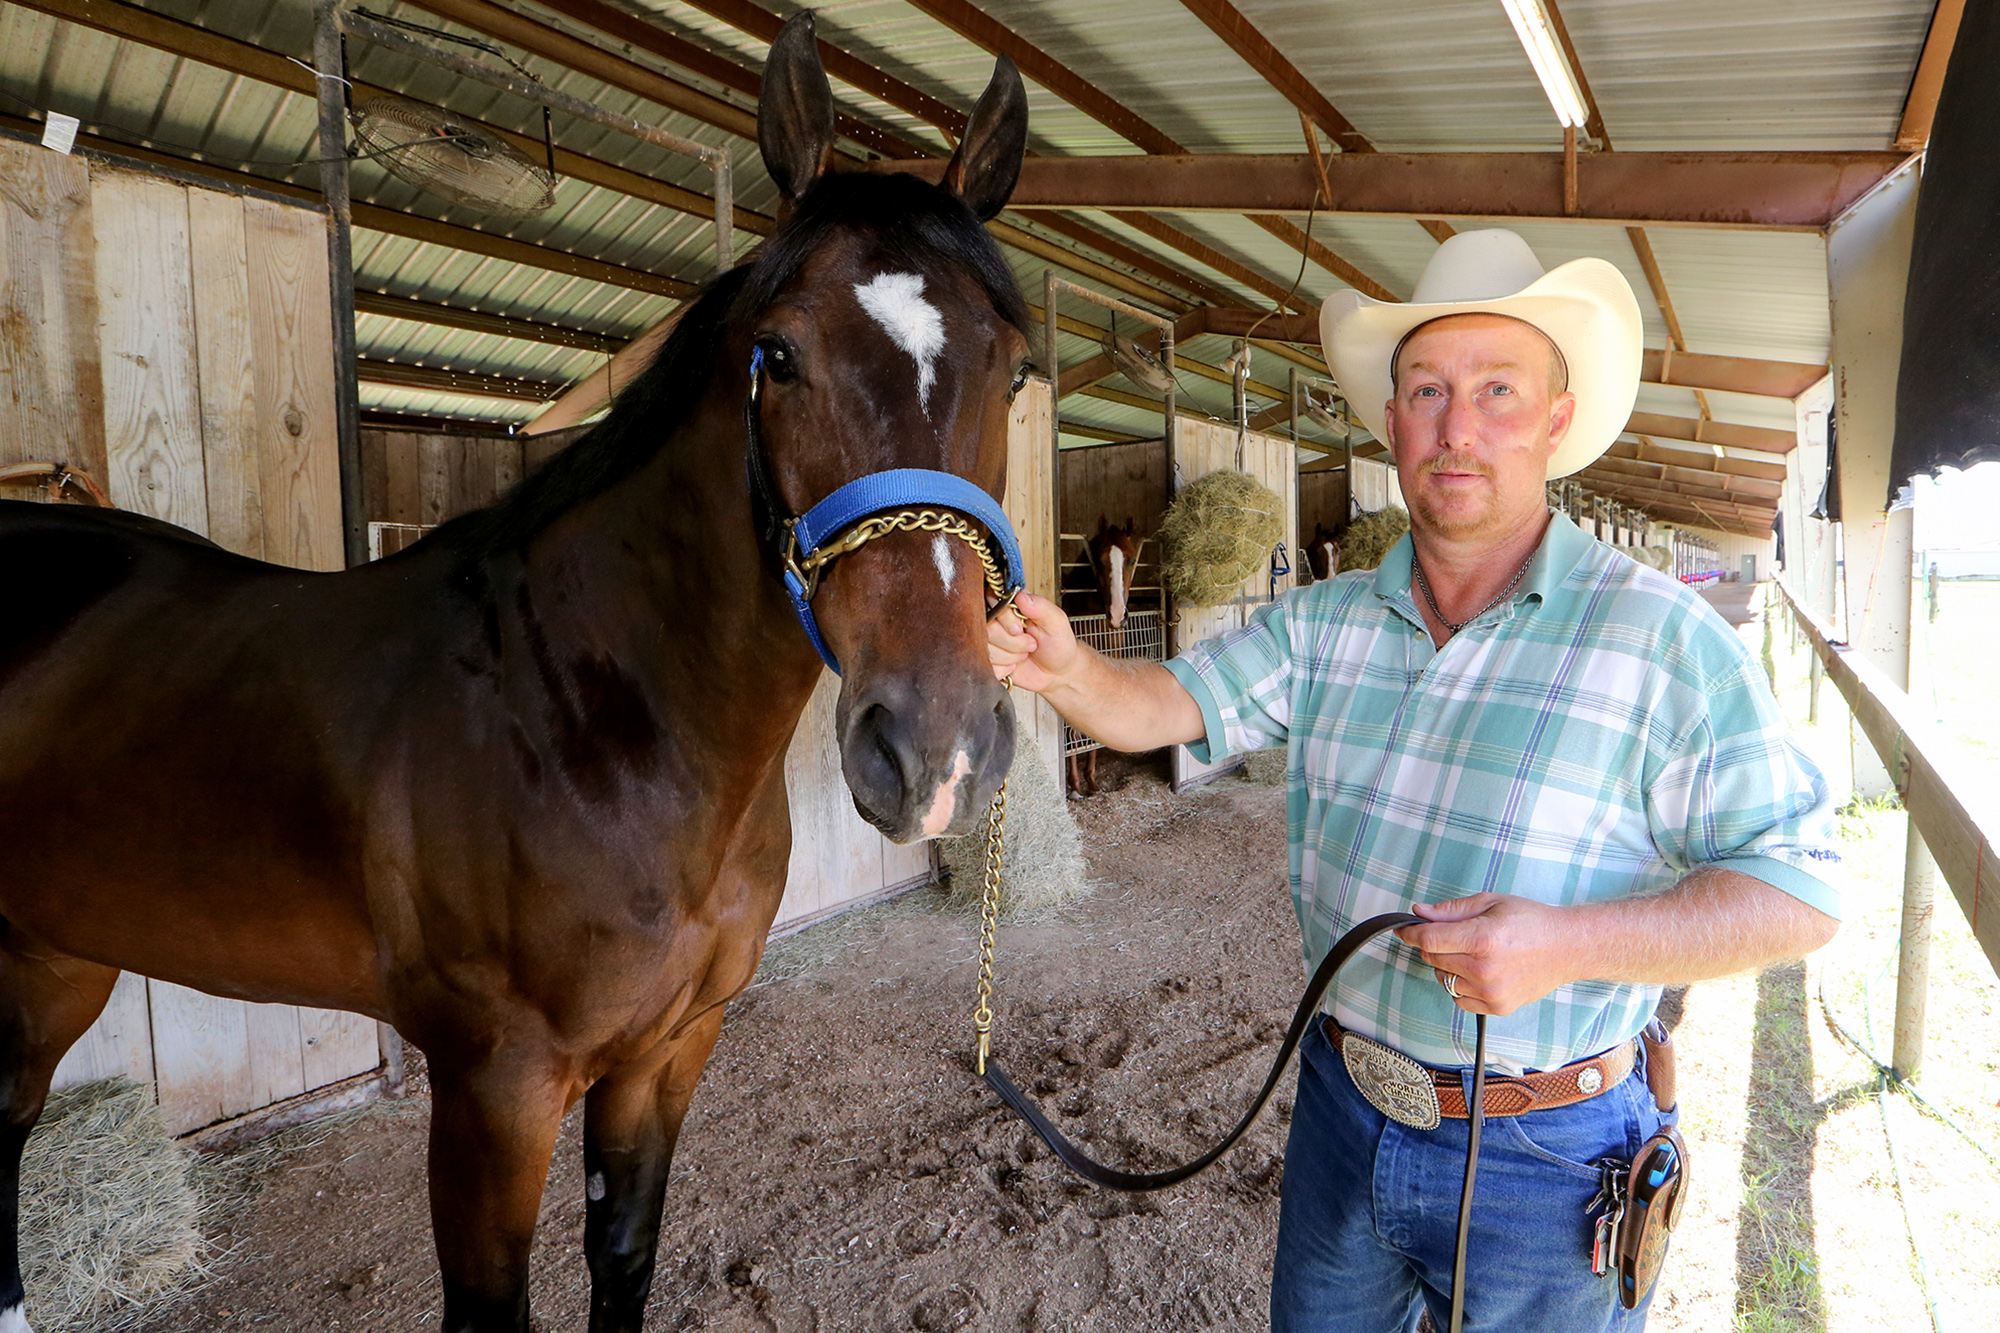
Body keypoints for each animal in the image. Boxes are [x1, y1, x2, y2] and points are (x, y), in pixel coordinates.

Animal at [0, 16, 1031, 1333]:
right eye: (777, 353)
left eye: (1013, 371)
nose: (933, 746)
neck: (588, 723)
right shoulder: (494, 1090)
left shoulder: (666, 1053)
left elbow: (622, 1257)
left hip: (52, 958)